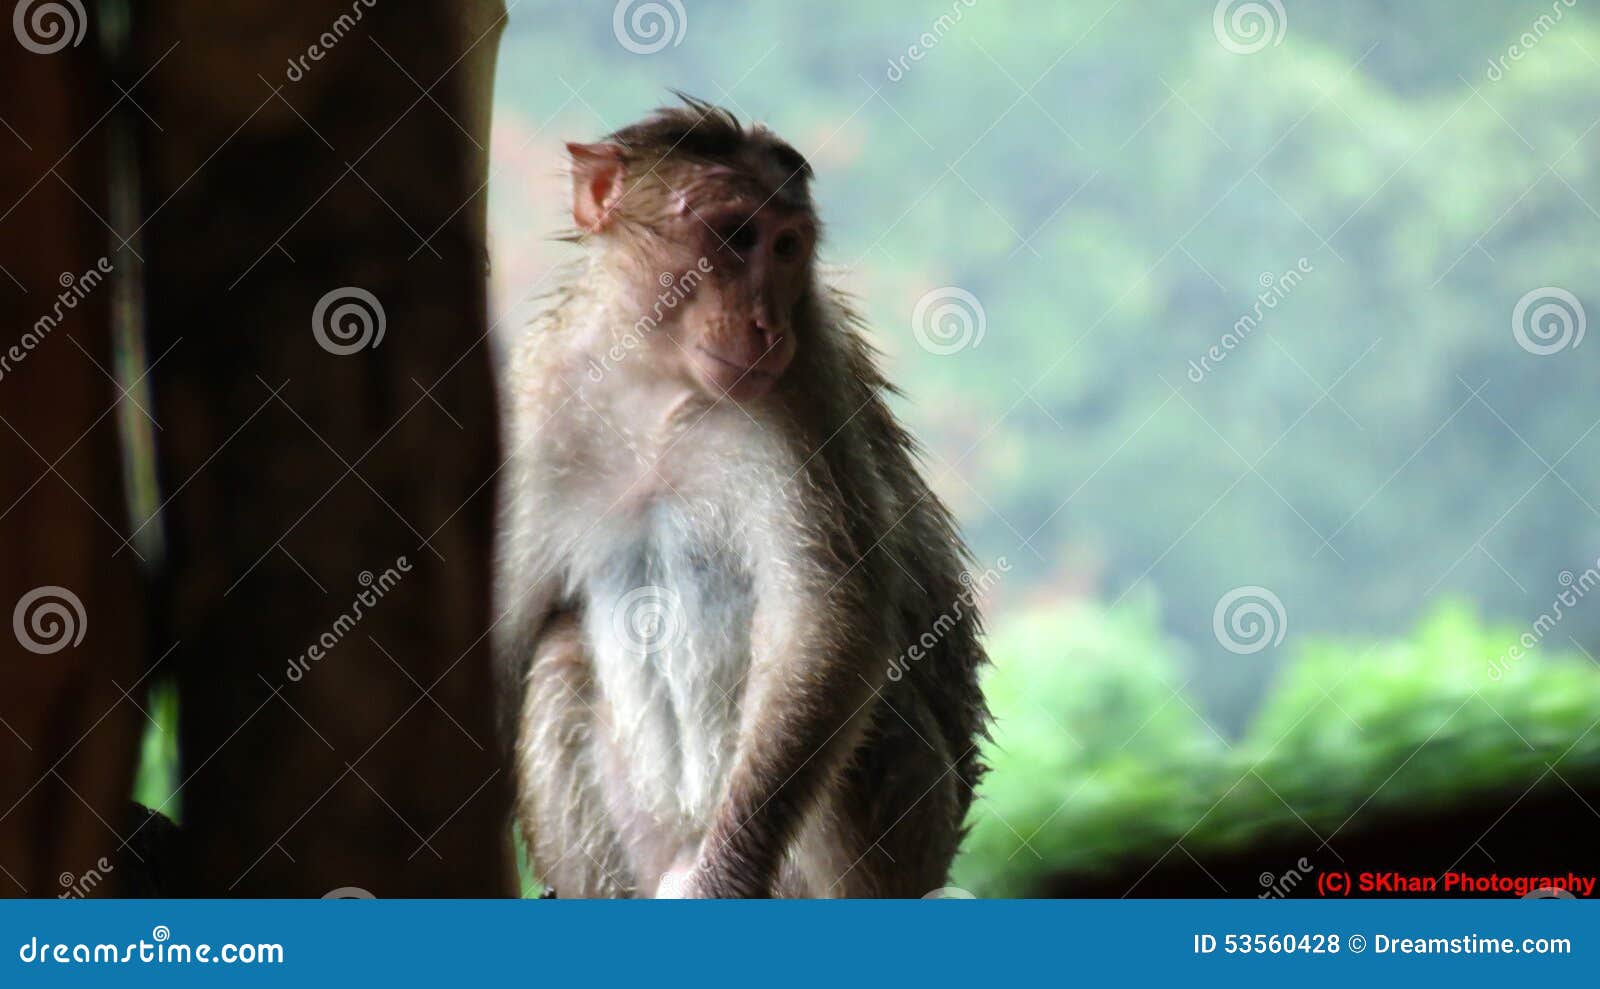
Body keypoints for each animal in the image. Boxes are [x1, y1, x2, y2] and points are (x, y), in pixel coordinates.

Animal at [493, 99, 988, 898]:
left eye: (787, 247)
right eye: (731, 236)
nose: (765, 323)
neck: (656, 385)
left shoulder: (804, 389)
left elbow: (827, 622)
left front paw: (725, 879)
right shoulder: (531, 408)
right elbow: (503, 637)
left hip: (906, 836)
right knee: (561, 654)